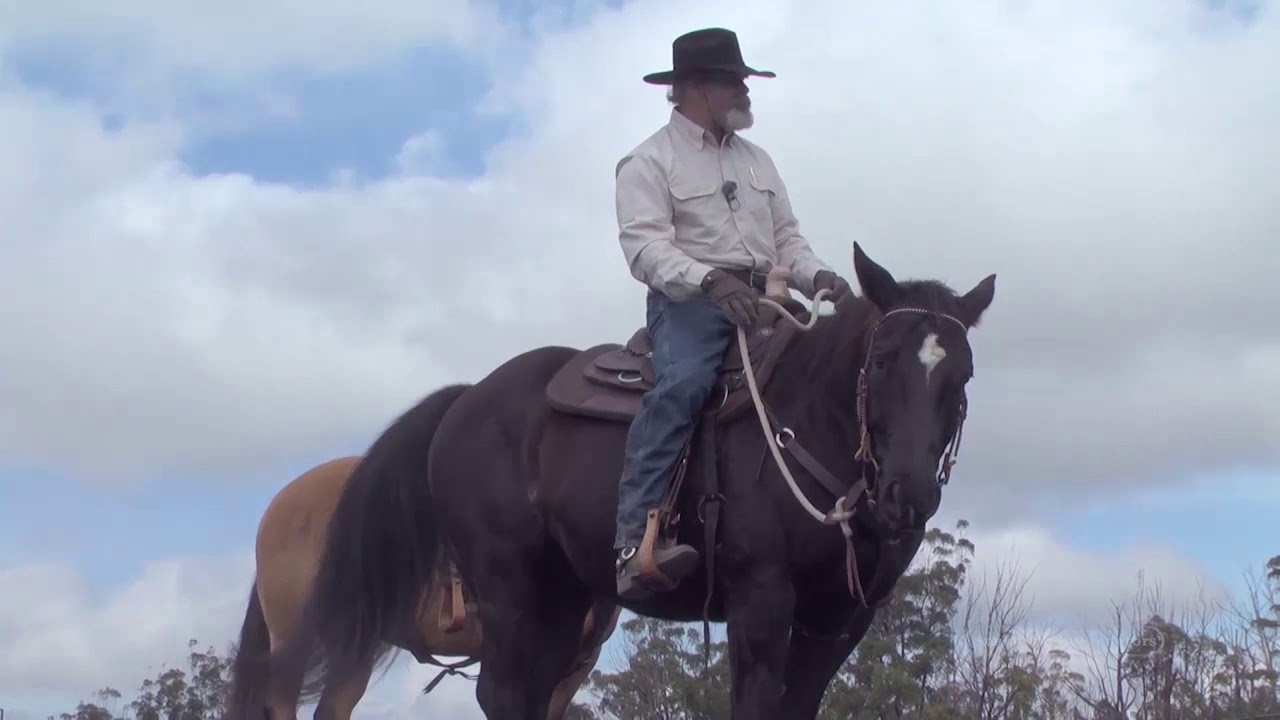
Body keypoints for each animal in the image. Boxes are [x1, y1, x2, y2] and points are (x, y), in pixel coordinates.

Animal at [281, 242, 996, 719]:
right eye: (882, 361)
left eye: (961, 376)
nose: (909, 496)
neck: (810, 424)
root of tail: (465, 399)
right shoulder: (760, 599)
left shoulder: (842, 620)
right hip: (507, 585)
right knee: (502, 692)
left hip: (563, 597)